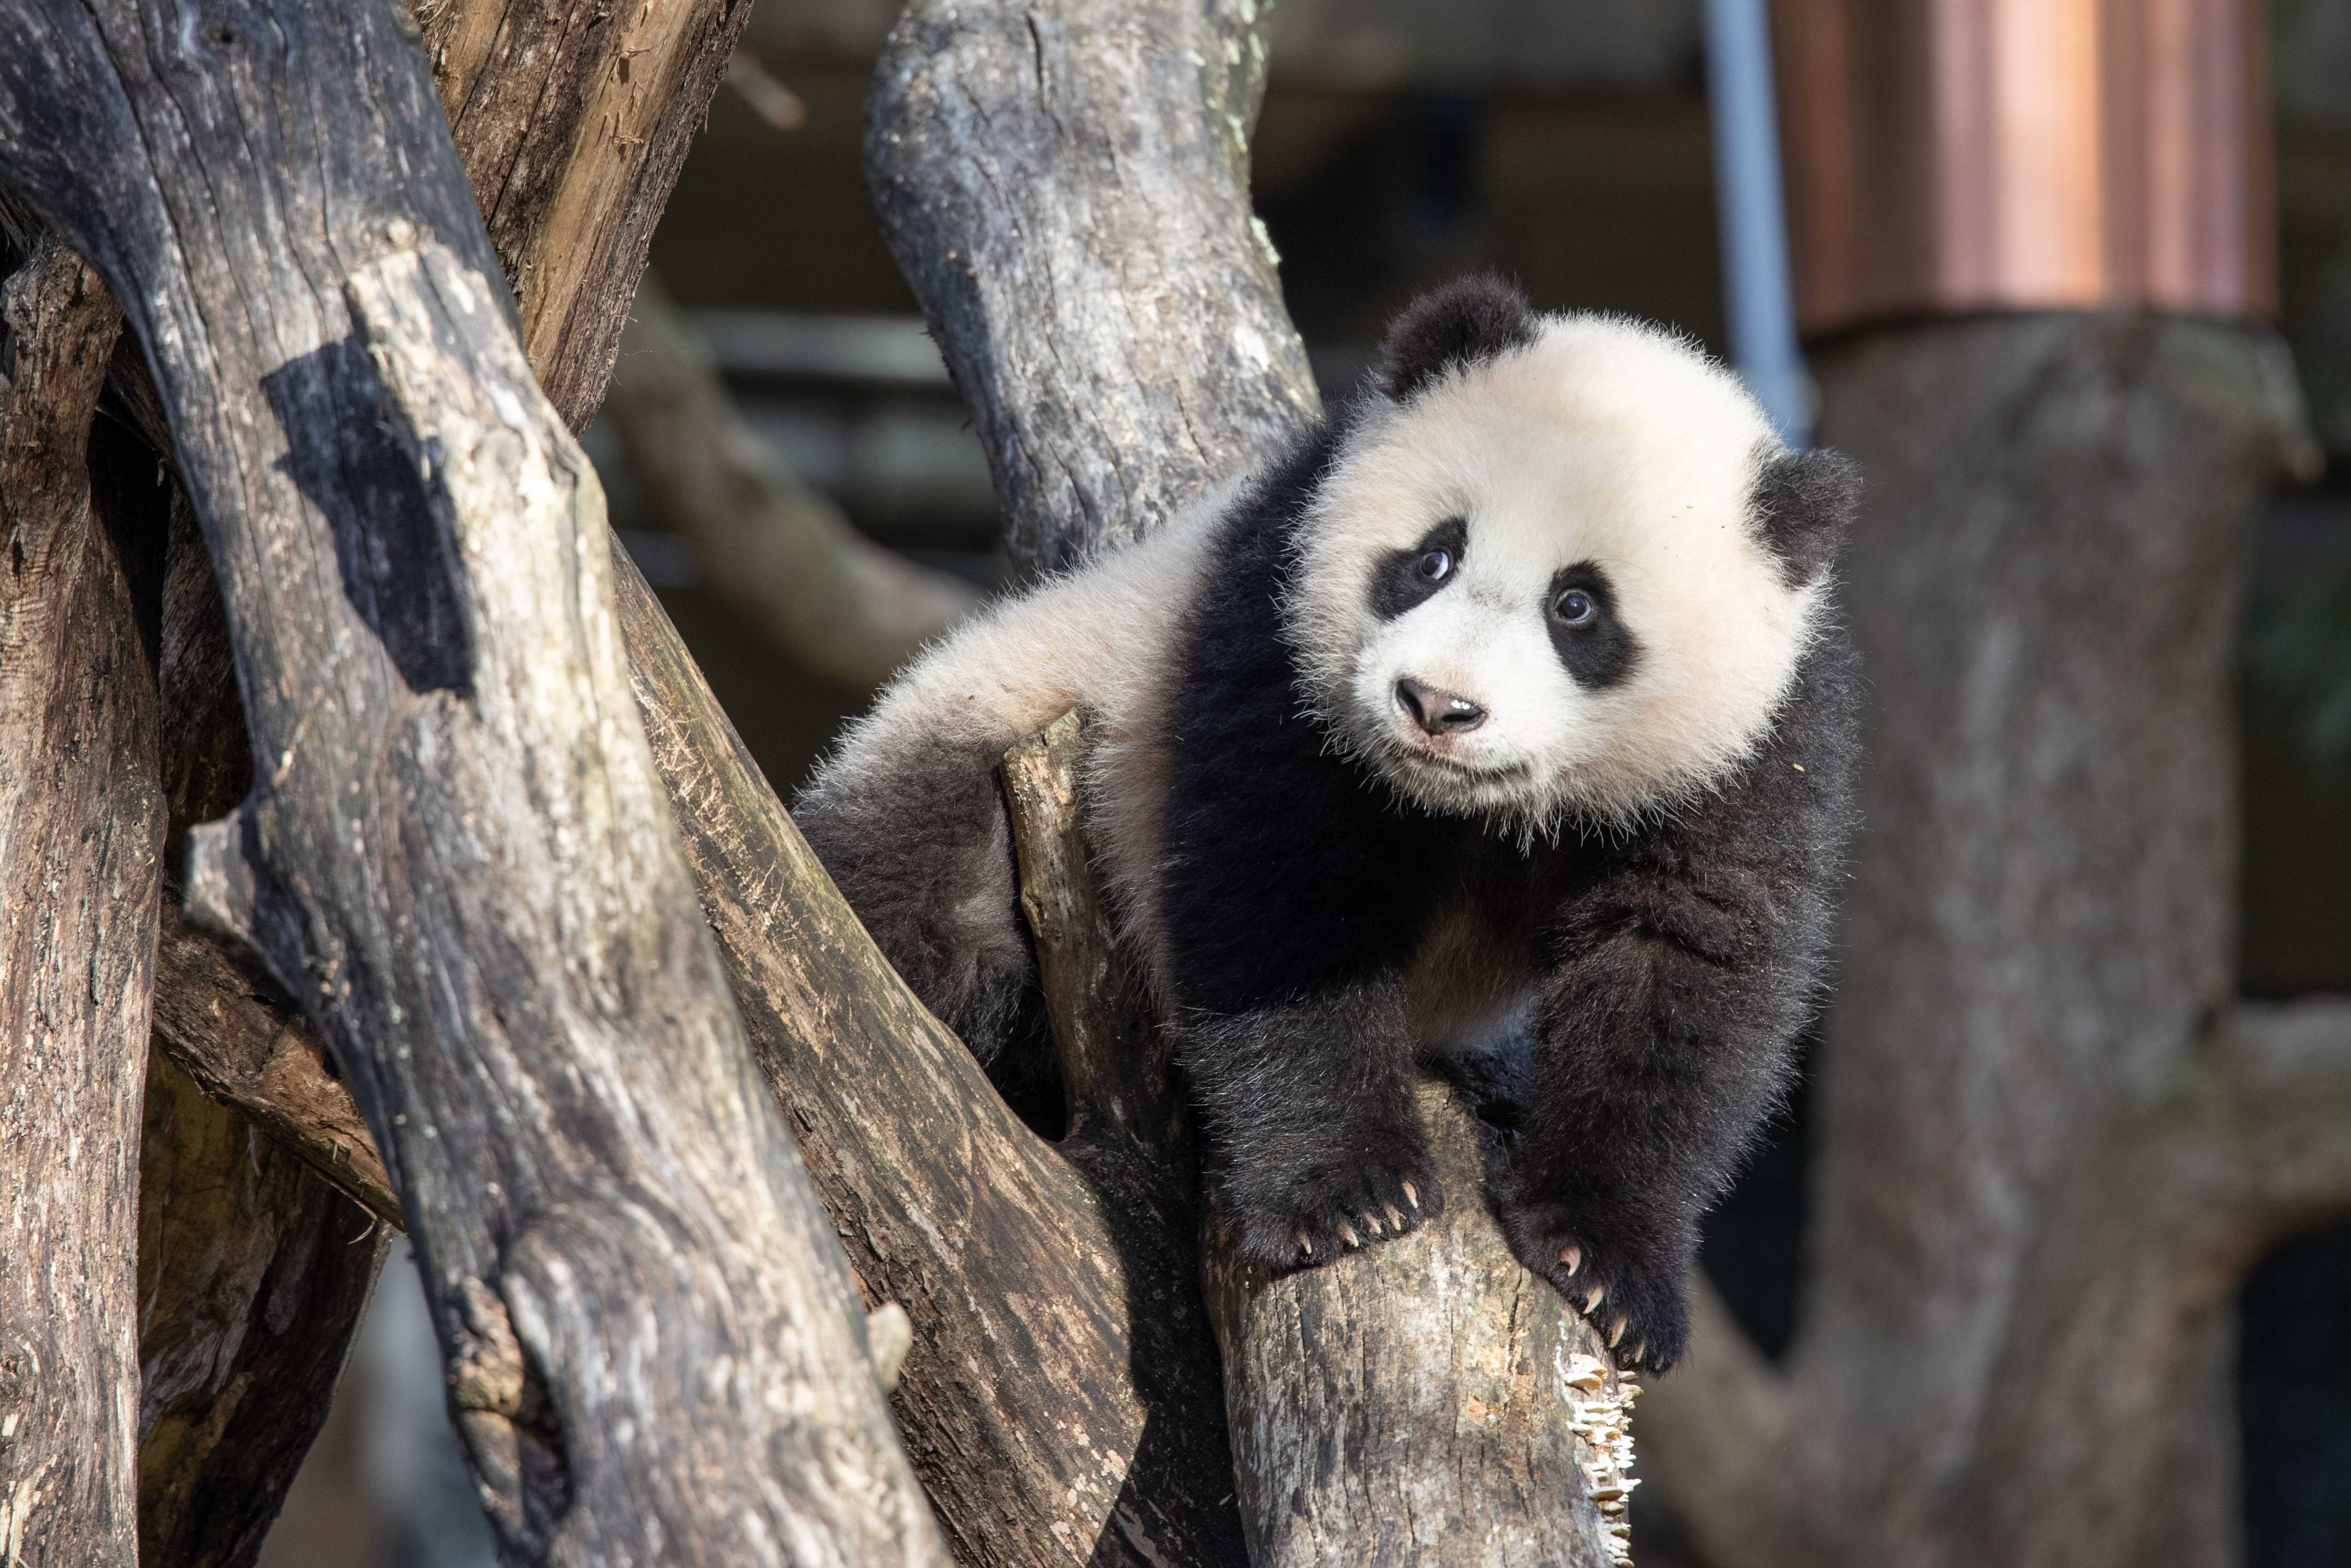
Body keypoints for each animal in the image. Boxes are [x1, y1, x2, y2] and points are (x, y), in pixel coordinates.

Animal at [796, 275, 1859, 1372]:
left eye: (1577, 607)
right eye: (1432, 558)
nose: (1436, 705)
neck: (1463, 807)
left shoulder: (1761, 744)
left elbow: (1685, 963)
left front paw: (1603, 1263)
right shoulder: (1272, 610)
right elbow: (1279, 890)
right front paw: (1344, 1194)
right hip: (981, 740)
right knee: (928, 908)